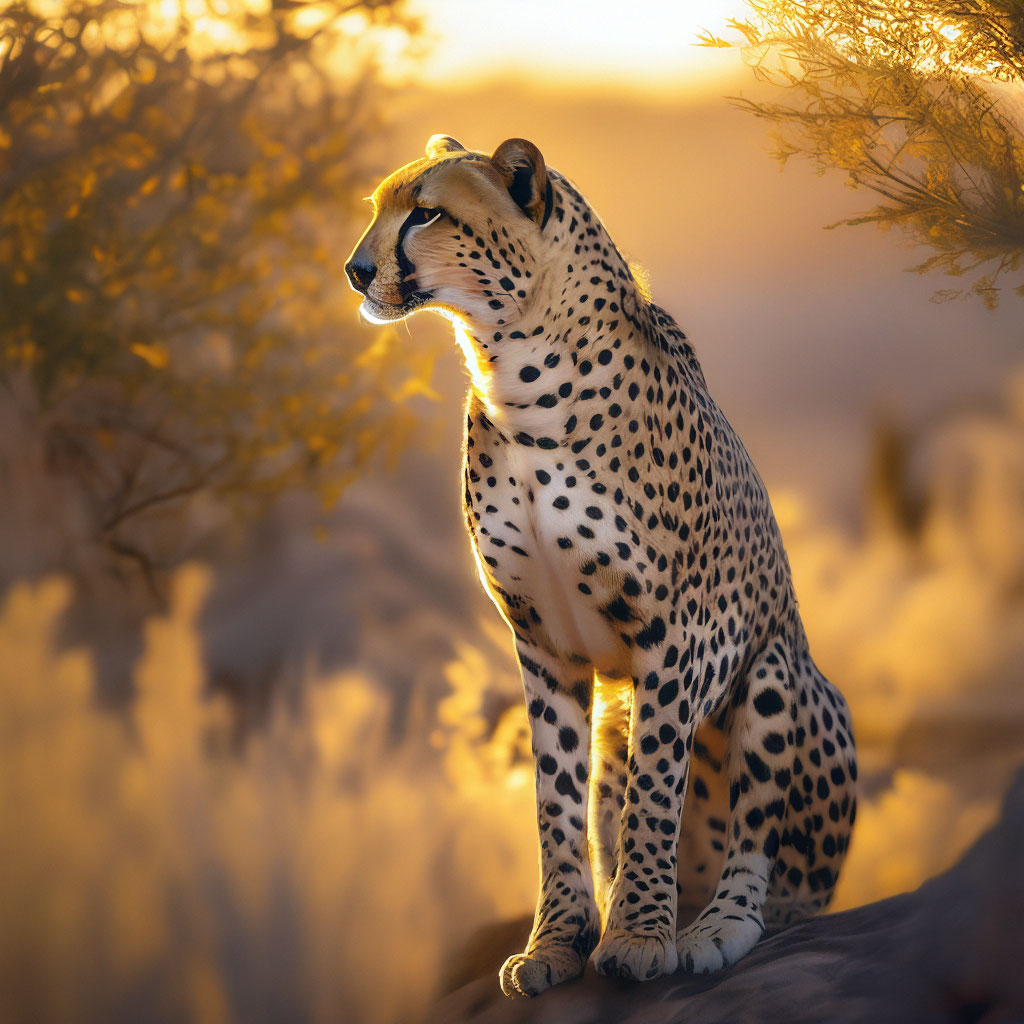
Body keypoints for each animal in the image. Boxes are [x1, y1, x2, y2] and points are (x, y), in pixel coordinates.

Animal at [346, 135, 857, 998]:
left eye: (426, 214)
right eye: (380, 209)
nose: (354, 269)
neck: (512, 369)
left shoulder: (674, 635)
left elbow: (654, 790)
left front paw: (641, 937)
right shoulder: (541, 642)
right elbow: (558, 802)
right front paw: (558, 940)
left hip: (782, 676)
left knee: (762, 868)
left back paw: (707, 928)